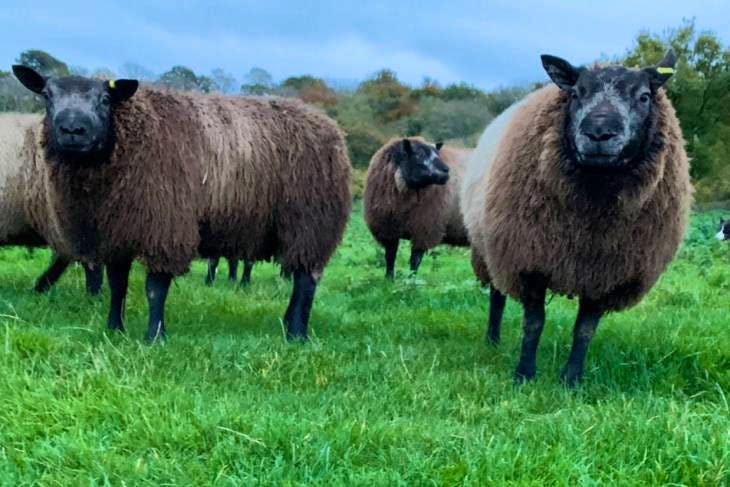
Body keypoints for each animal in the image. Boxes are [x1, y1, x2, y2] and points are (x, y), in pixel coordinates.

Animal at [13, 66, 351, 342]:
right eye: (47, 96)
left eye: (105, 100)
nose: (73, 131)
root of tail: (328, 124)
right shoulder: (117, 231)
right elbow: (117, 285)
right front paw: (114, 329)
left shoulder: (166, 226)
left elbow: (155, 288)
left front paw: (154, 337)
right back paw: (287, 324)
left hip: (311, 224)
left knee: (306, 281)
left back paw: (296, 334)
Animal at [364, 137, 470, 278]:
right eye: (419, 154)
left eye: (437, 154)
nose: (446, 171)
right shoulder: (389, 230)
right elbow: (390, 257)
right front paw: (389, 278)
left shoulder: (424, 229)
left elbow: (415, 260)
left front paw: (411, 280)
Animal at [461, 50, 692, 385]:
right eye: (576, 93)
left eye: (644, 96)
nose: (598, 132)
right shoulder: (528, 262)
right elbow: (534, 323)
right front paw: (524, 374)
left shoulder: (605, 275)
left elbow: (584, 330)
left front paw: (570, 380)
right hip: (491, 250)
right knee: (497, 296)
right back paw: (492, 339)